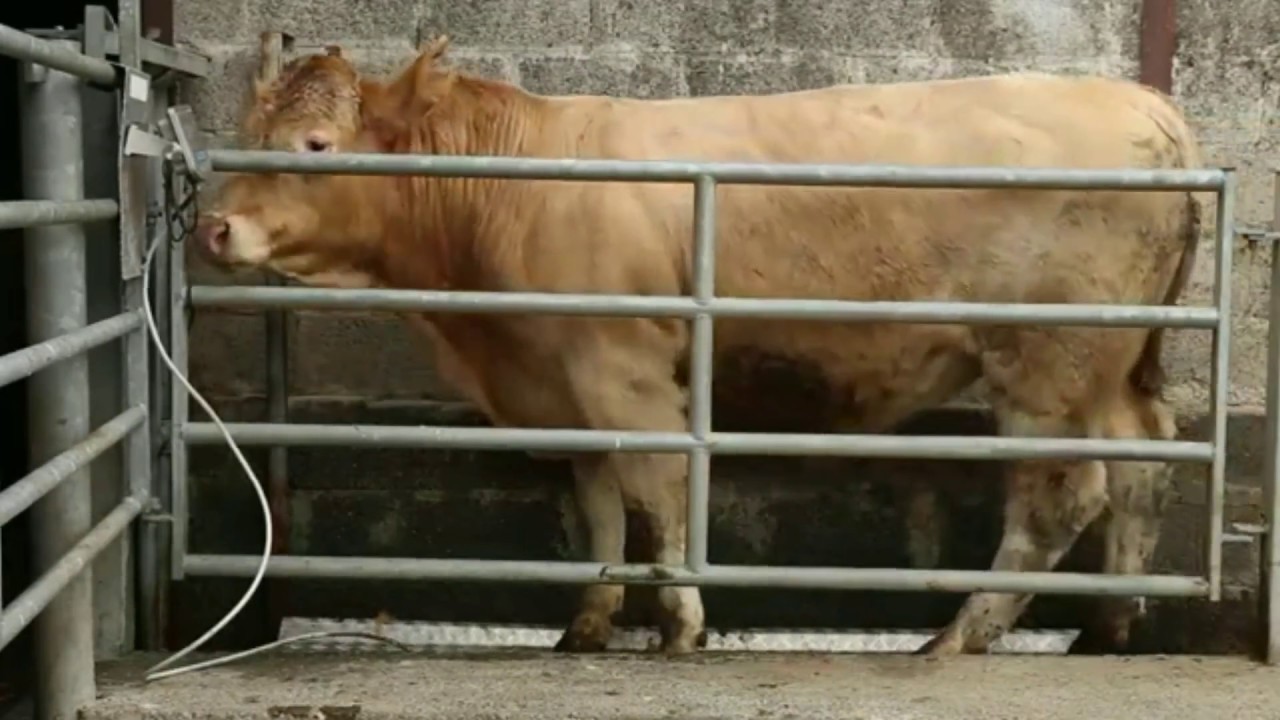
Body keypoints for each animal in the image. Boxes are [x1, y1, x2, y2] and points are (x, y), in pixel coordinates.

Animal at [193, 37, 1202, 657]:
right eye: (245, 136)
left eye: (316, 143)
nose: (214, 229)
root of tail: (1147, 104)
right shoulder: (563, 381)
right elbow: (598, 503)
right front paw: (588, 623)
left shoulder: (623, 371)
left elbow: (654, 492)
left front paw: (679, 624)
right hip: (1113, 366)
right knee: (1146, 463)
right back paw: (1110, 628)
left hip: (1045, 360)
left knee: (1060, 496)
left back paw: (958, 637)